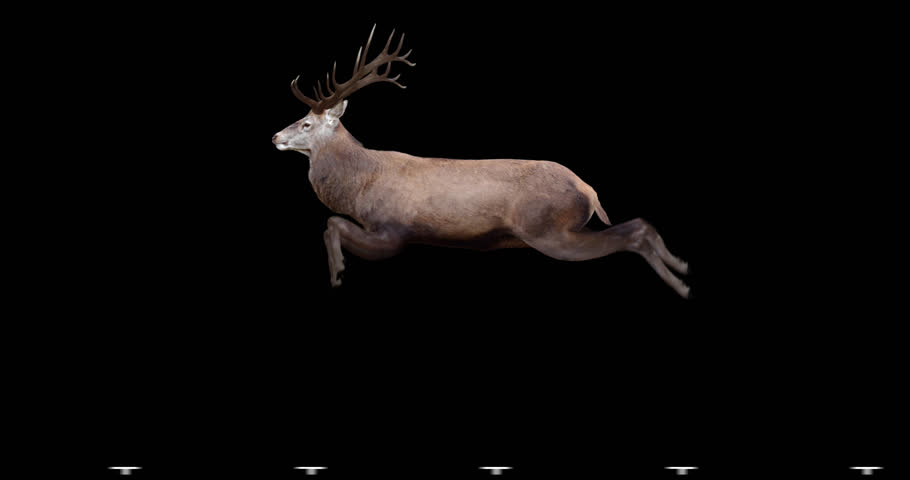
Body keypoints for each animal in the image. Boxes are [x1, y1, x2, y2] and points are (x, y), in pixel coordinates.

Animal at [272, 26, 691, 298]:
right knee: (640, 224)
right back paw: (683, 270)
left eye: (306, 122)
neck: (359, 187)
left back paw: (680, 284)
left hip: (546, 230)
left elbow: (332, 224)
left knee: (632, 232)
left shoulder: (393, 229)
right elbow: (331, 224)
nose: (275, 137)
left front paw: (337, 272)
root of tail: (590, 192)